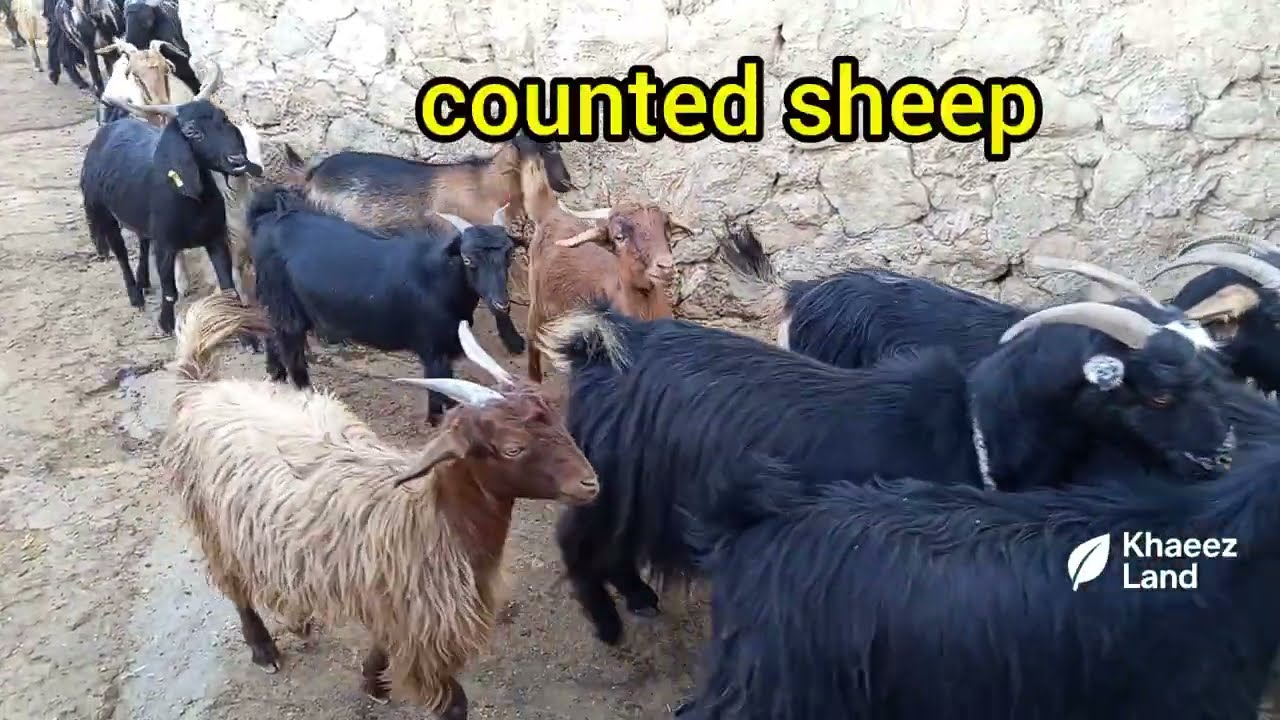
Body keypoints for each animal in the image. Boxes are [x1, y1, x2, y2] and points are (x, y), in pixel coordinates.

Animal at [81, 67, 263, 336]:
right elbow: (170, 290)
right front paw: (166, 321)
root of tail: (112, 127)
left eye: (224, 119)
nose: (238, 159)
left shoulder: (218, 237)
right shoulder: (168, 243)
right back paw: (135, 293)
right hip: (105, 212)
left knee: (143, 243)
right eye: (190, 131)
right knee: (120, 252)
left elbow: (228, 283)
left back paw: (144, 280)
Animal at [162, 292, 598, 718]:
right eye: (512, 448)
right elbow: (454, 704)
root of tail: (201, 388)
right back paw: (263, 648)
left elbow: (382, 648)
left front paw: (372, 682)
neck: (429, 518)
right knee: (234, 585)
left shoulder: (392, 606)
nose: (590, 482)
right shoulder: (423, 632)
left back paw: (299, 621)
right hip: (213, 523)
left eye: (554, 414)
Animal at [246, 185, 519, 421]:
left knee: (271, 336)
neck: (437, 277)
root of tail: (271, 217)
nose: (501, 303)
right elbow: (439, 393)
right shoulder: (433, 350)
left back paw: (276, 379)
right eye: (468, 259)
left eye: (509, 255)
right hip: (285, 306)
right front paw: (437, 423)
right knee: (293, 356)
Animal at [537, 297, 1236, 645]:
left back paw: (639, 596)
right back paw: (609, 624)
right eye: (1160, 395)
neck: (974, 427)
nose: (1222, 453)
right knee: (576, 539)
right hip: (608, 476)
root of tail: (603, 343)